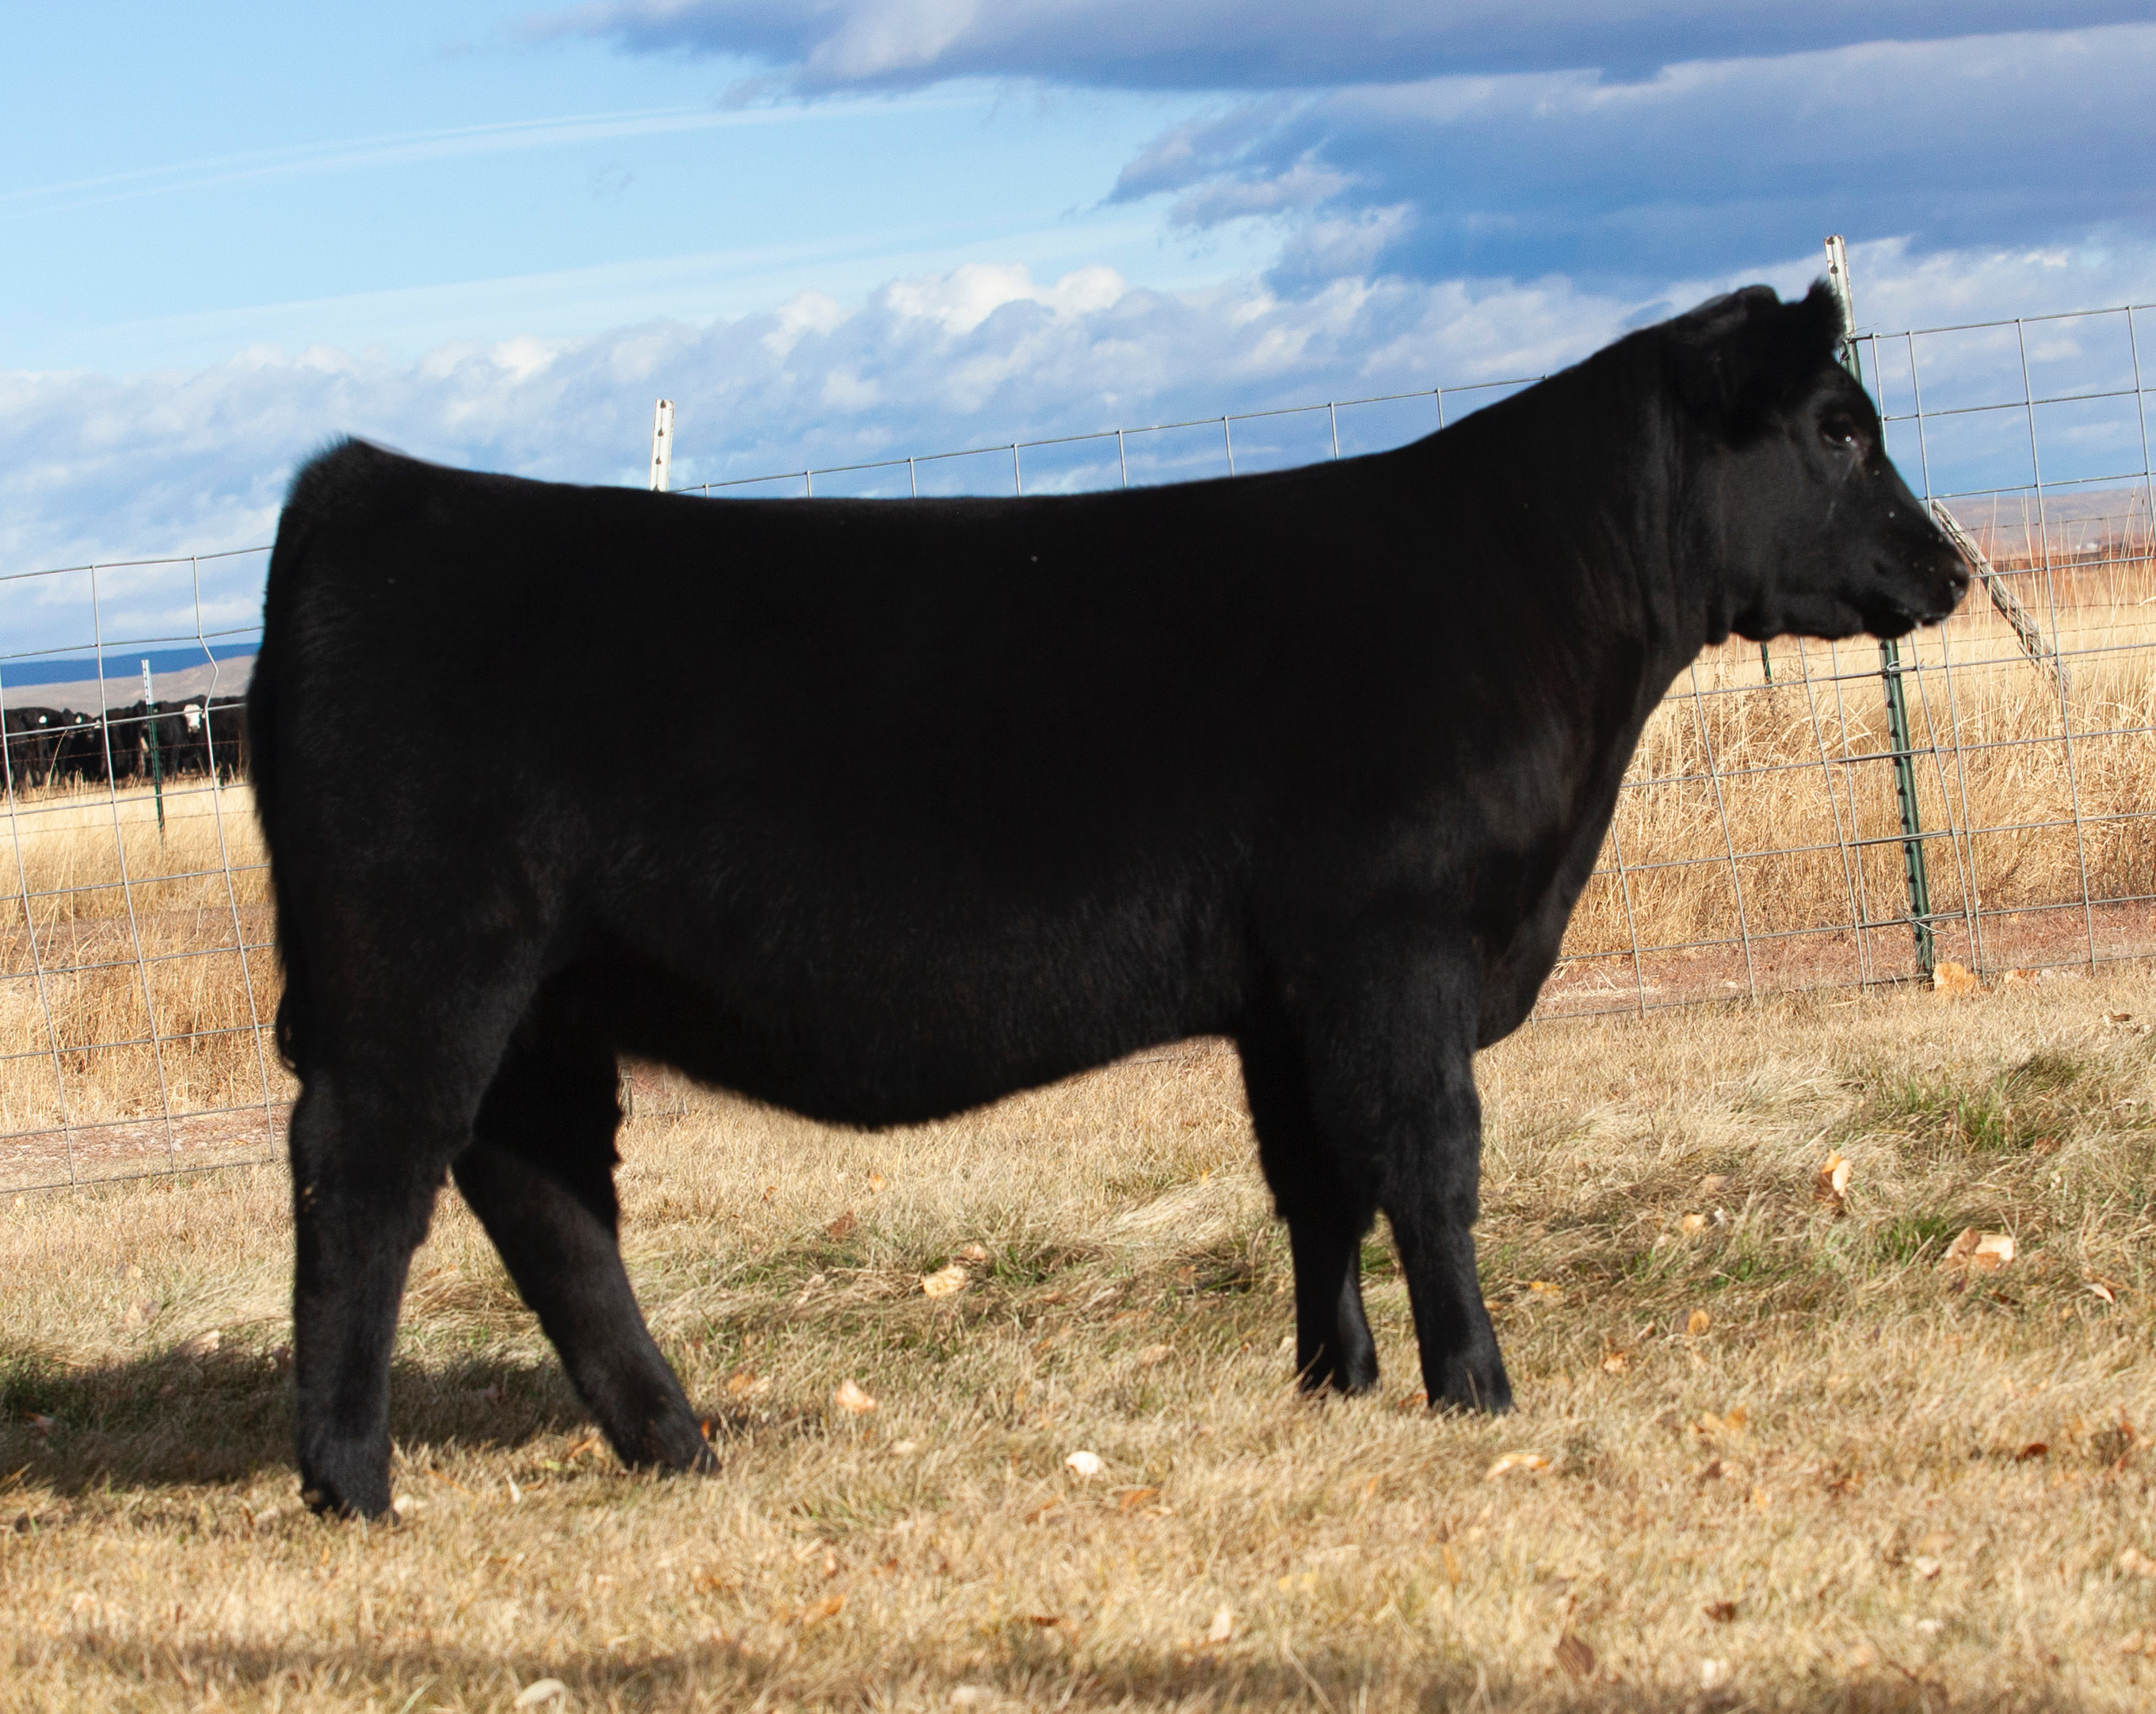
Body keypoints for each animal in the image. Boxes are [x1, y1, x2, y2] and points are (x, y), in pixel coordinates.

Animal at [251, 281, 1968, 1518]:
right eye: (1835, 429)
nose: (1947, 567)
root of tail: (366, 490)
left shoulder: (1288, 988)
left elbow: (1314, 1180)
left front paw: (1335, 1379)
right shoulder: (1392, 943)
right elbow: (1429, 1166)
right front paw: (1474, 1385)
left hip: (545, 998)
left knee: (541, 1196)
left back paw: (676, 1442)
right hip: (415, 966)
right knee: (364, 1187)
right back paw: (352, 1482)